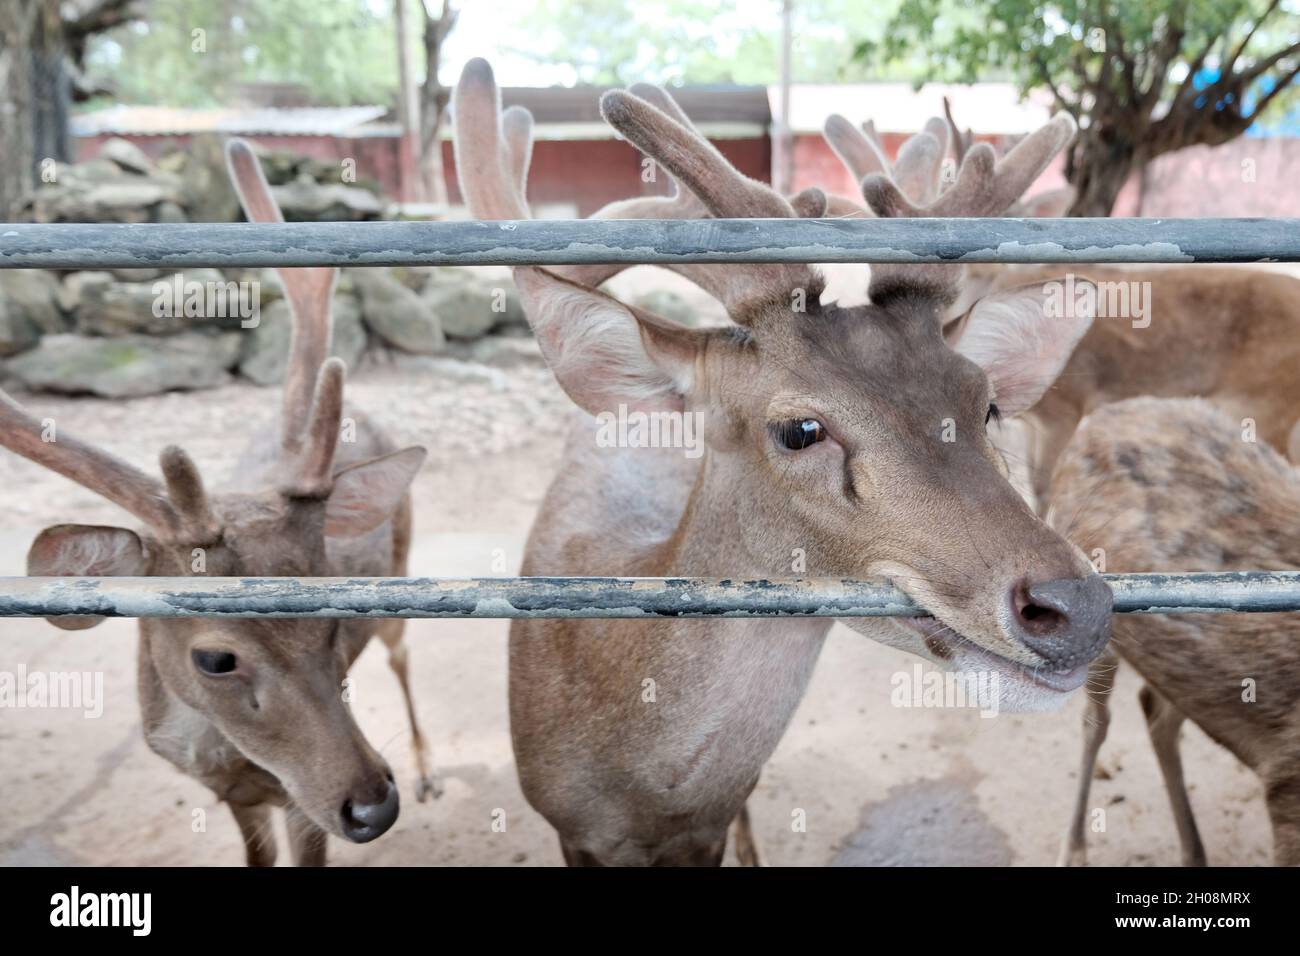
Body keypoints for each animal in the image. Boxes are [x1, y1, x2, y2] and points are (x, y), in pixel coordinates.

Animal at [0, 139, 434, 866]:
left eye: (336, 616)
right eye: (215, 658)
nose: (374, 804)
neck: (224, 761)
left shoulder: (300, 804)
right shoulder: (235, 798)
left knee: (403, 654)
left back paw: (429, 768)